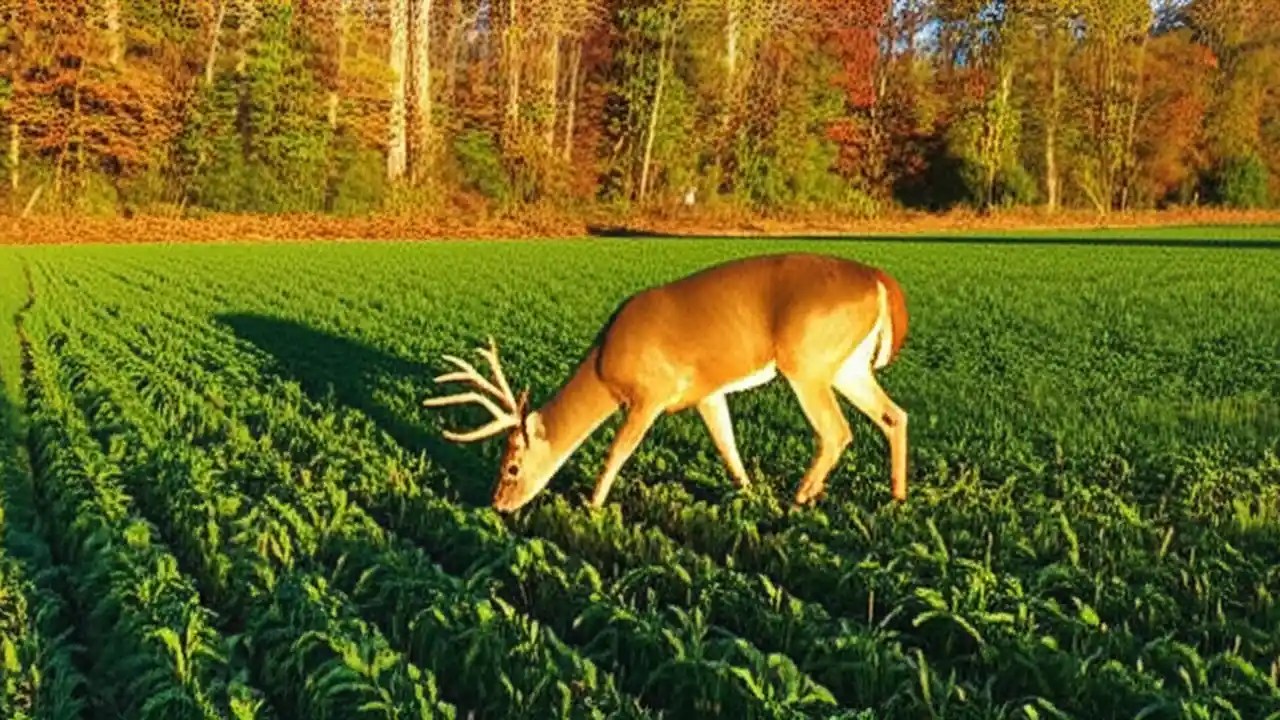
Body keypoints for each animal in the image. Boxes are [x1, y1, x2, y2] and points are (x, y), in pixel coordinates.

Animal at [422, 252, 910, 513]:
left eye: (512, 466)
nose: (497, 504)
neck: (605, 364)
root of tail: (880, 281)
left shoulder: (650, 394)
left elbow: (618, 451)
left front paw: (592, 505)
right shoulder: (707, 393)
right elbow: (728, 446)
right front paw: (747, 494)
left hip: (806, 362)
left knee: (836, 431)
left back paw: (802, 496)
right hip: (848, 365)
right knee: (894, 415)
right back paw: (897, 497)